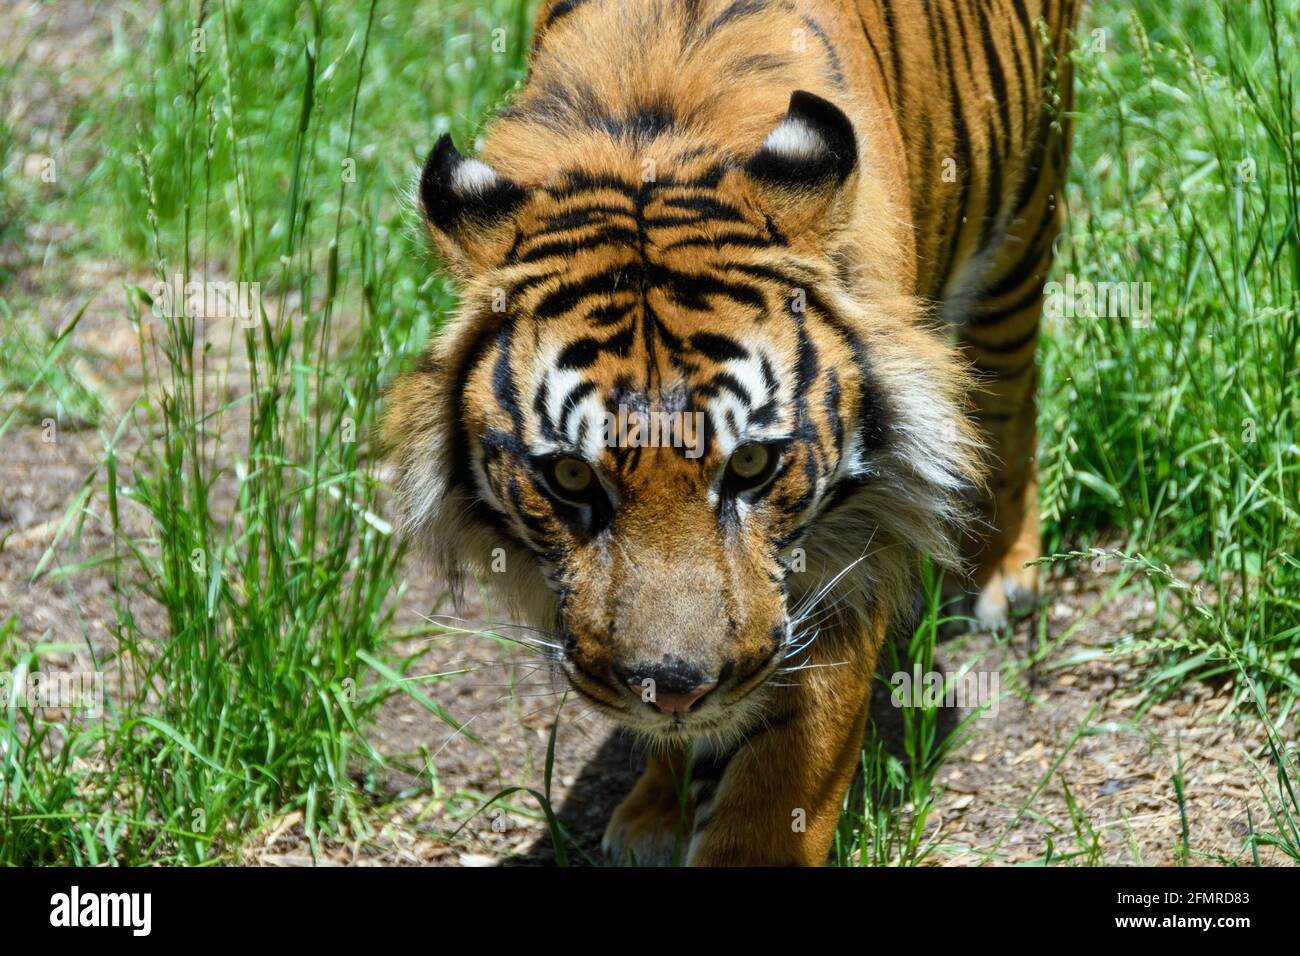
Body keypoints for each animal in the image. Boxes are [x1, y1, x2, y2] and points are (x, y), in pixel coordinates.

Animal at [384, 0, 1079, 865]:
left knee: (1010, 391)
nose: (676, 687)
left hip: (1024, 215)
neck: (649, 129)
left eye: (750, 464)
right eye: (571, 477)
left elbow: (785, 770)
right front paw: (656, 811)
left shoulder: (846, 552)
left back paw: (999, 573)